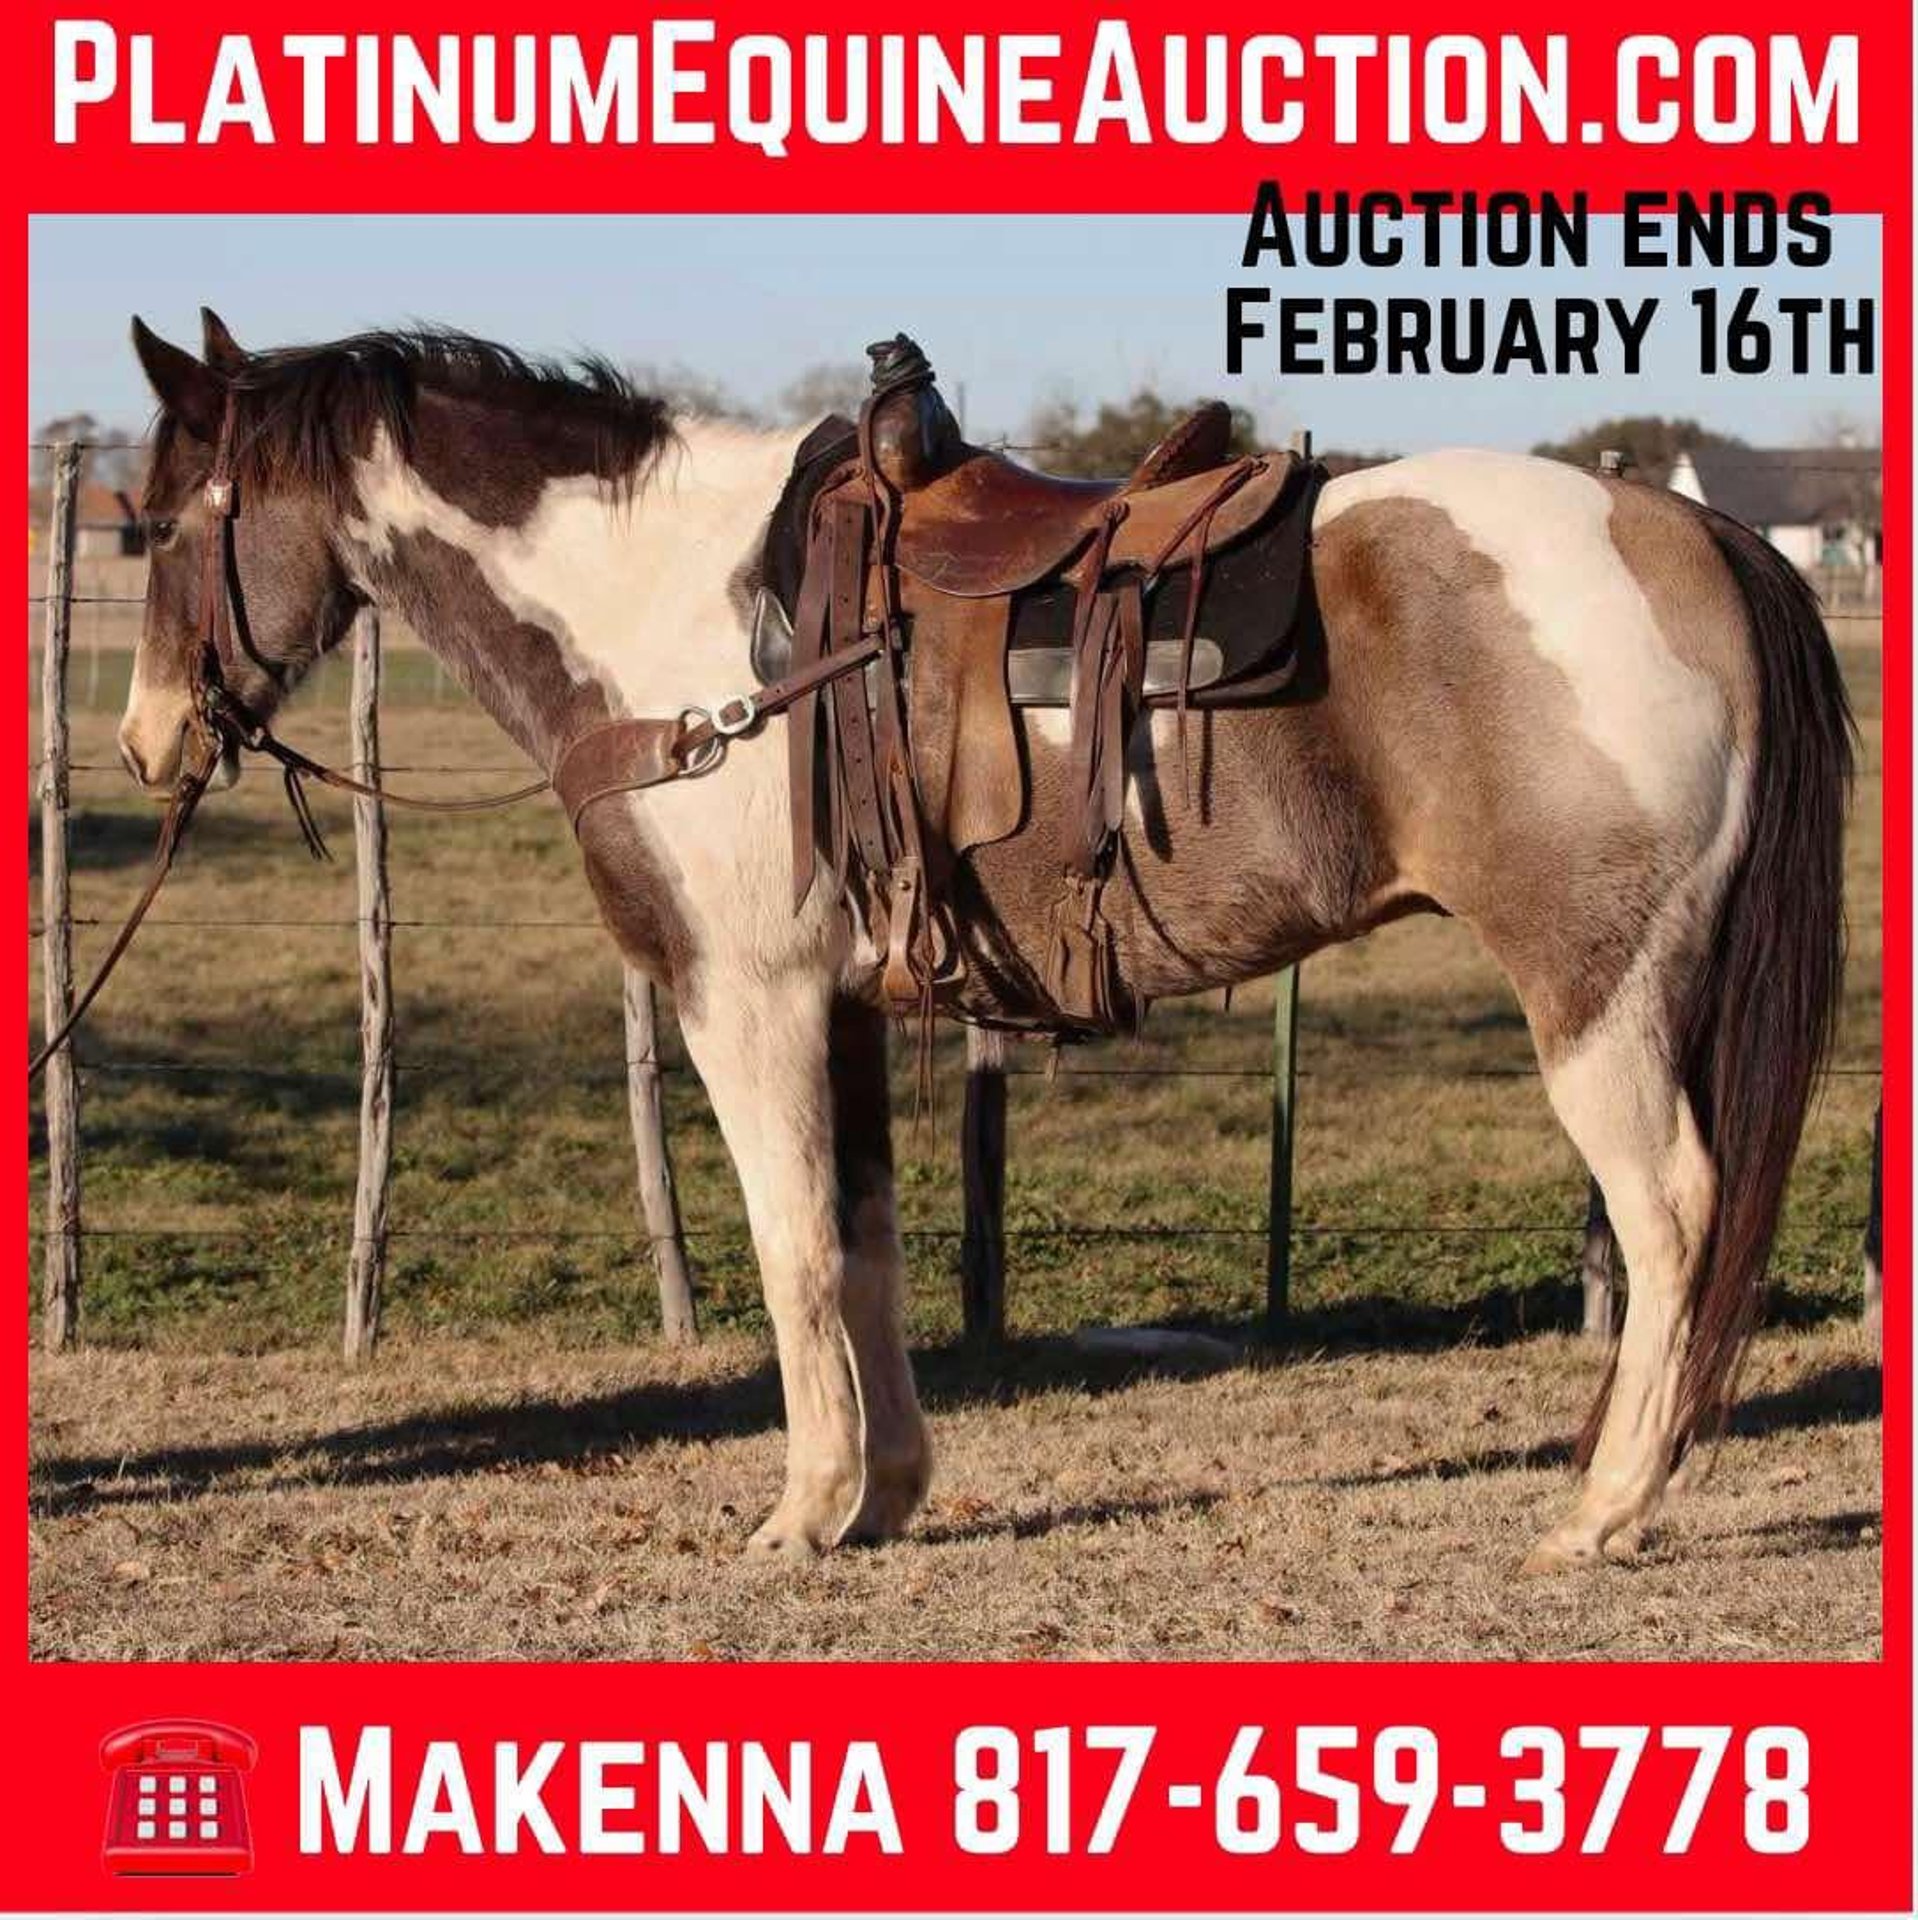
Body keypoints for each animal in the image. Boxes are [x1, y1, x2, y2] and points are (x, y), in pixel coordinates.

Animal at [116, 310, 1851, 1571]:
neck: (693, 627)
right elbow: (865, 1247)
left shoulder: (744, 1002)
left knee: (1672, 1217)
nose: (144, 744)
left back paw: (1600, 1513)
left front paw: (799, 1514)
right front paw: (882, 1492)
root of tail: (1683, 532)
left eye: (165, 526)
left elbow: (791, 1246)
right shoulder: (844, 1008)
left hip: (1596, 997)